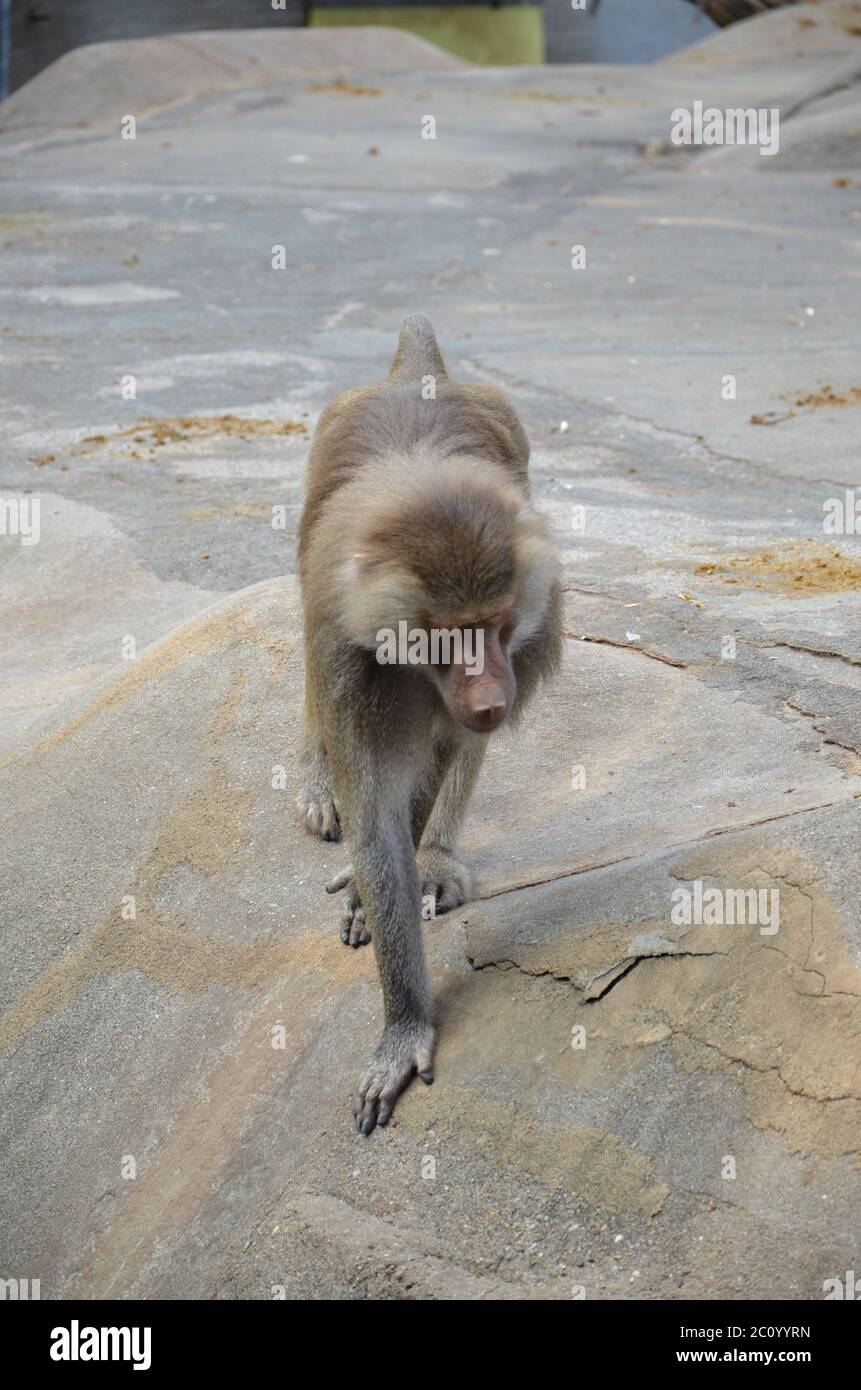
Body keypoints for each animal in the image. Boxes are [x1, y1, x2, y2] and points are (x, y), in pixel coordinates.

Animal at [296, 314, 561, 1134]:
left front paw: (387, 882)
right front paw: (404, 1023)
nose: (491, 696)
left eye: (495, 624)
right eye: (453, 635)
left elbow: (439, 759)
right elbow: (374, 813)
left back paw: (437, 856)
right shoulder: (344, 652)